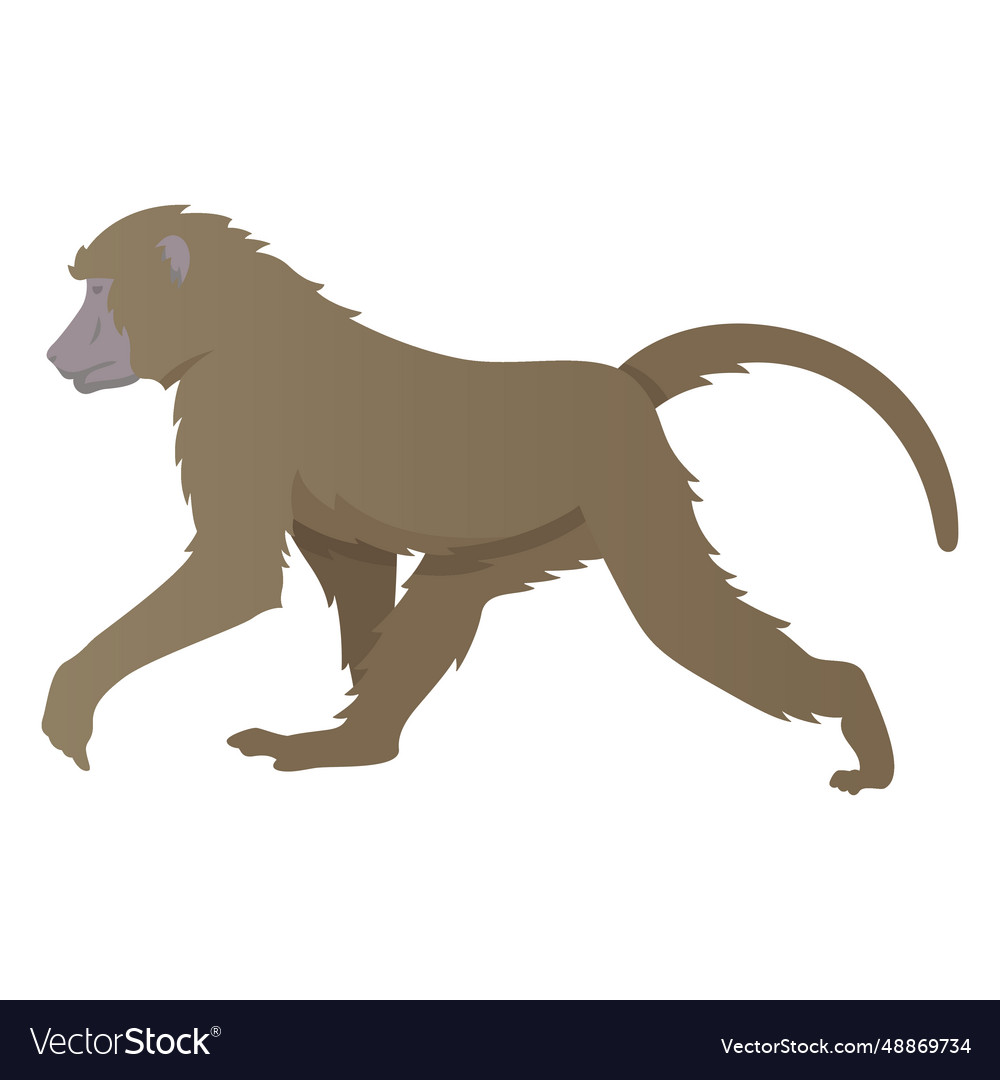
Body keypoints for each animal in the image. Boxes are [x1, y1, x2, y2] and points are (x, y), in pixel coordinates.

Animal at [43, 206, 957, 792]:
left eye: (98, 293)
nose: (56, 353)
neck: (233, 322)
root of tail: (619, 387)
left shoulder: (233, 406)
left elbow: (236, 577)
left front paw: (69, 705)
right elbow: (356, 567)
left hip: (627, 484)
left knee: (678, 613)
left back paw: (854, 706)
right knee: (451, 591)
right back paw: (360, 747)